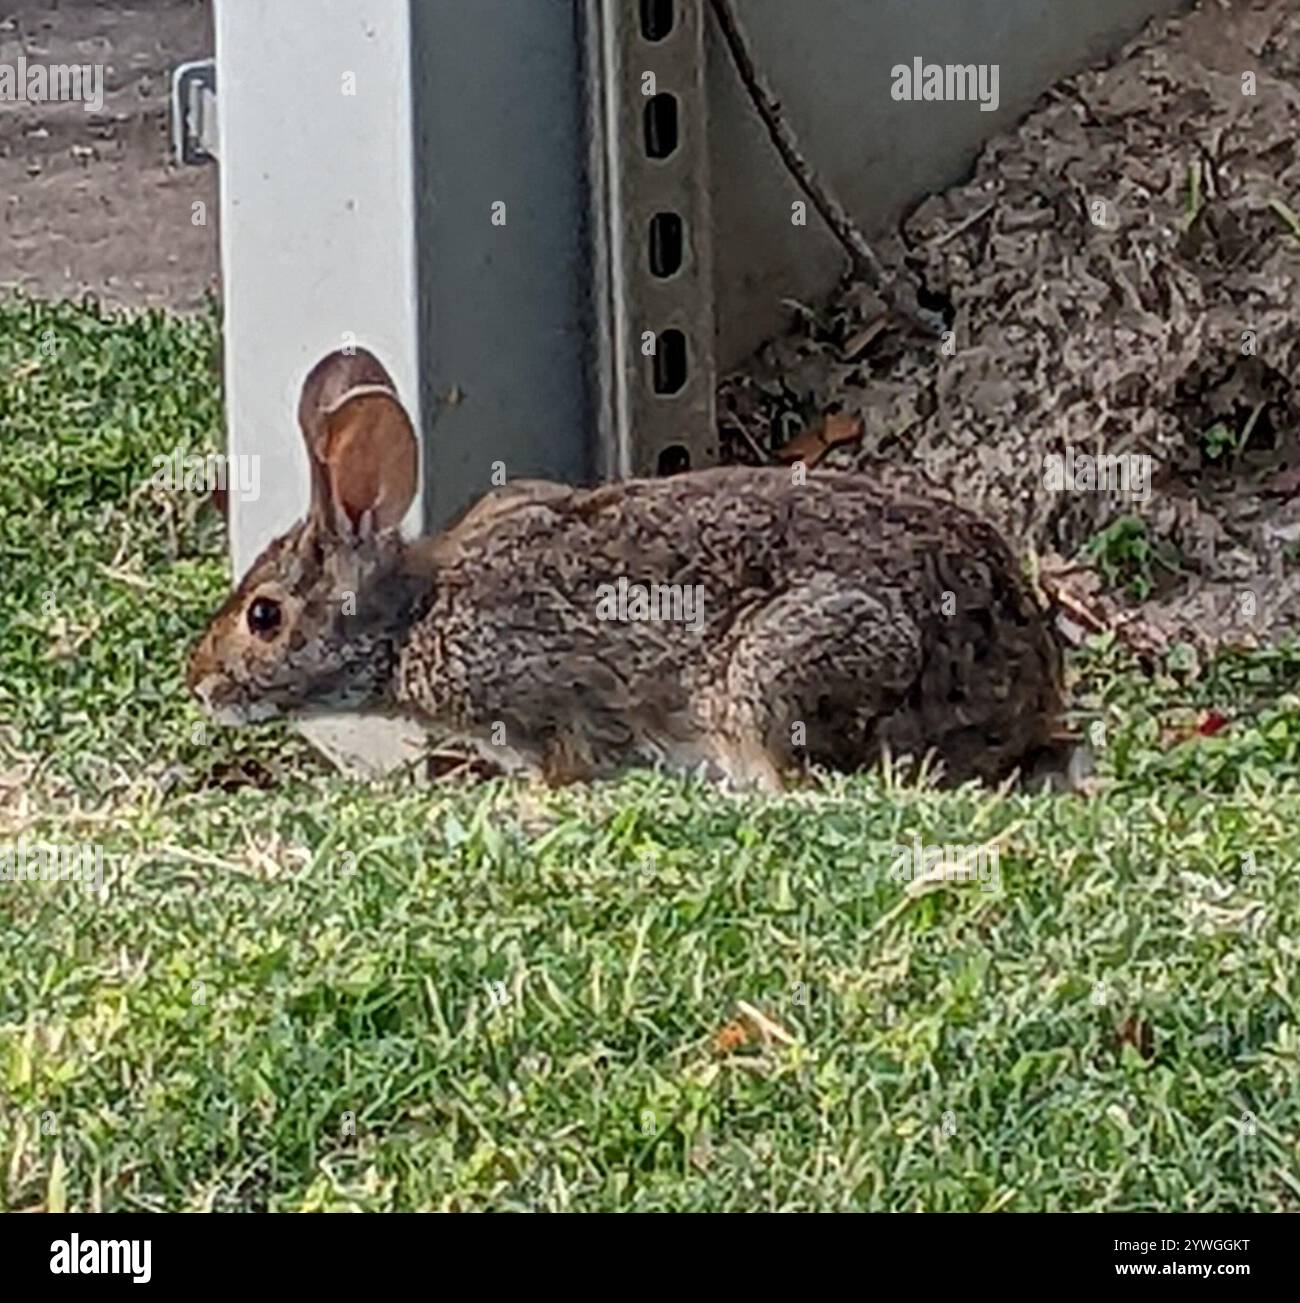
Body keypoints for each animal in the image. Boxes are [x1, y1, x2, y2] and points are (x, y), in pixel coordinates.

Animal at [187, 347, 1064, 790]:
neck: (416, 618)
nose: (198, 682)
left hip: (786, 670)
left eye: (264, 616)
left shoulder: (546, 695)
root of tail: (1024, 690)